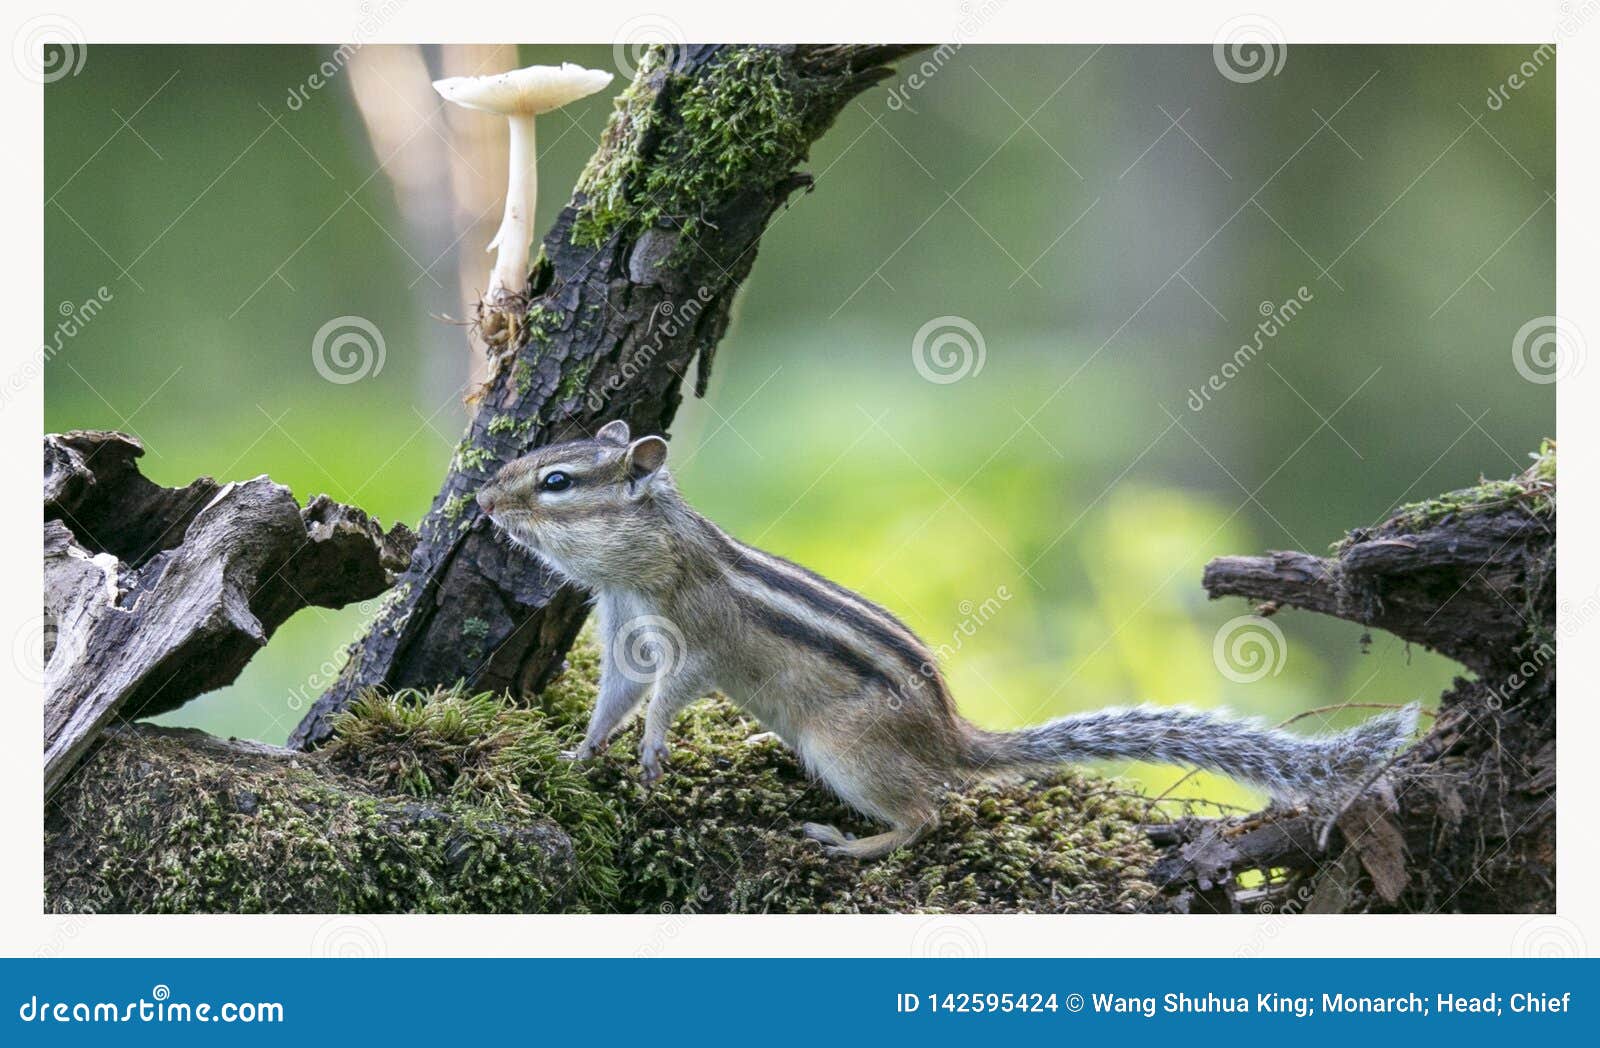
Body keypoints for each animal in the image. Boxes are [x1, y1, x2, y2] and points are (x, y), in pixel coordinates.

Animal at [475, 420, 1419, 860]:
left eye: (556, 482)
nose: (482, 501)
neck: (645, 563)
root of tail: (950, 736)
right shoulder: (622, 628)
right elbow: (616, 695)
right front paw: (580, 753)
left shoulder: (698, 635)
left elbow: (674, 690)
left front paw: (652, 748)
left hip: (847, 750)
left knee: (925, 813)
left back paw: (852, 843)